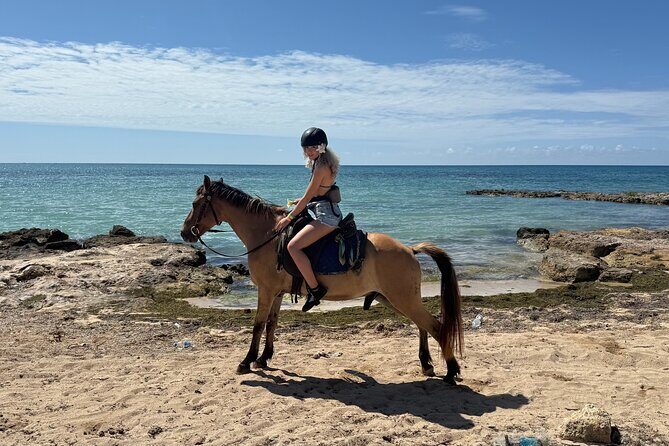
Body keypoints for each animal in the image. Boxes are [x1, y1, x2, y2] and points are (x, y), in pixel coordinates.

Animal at [180, 175, 464, 383]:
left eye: (195, 204)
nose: (184, 233)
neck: (268, 235)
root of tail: (410, 249)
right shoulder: (277, 292)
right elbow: (272, 324)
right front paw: (263, 358)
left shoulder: (266, 290)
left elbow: (258, 325)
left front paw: (246, 361)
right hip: (393, 298)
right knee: (422, 325)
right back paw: (427, 364)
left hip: (402, 298)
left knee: (435, 326)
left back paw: (451, 370)